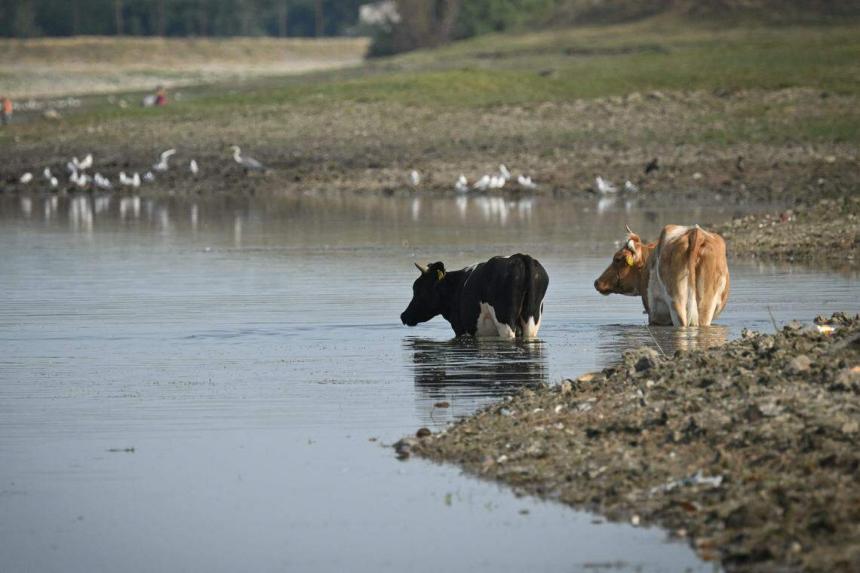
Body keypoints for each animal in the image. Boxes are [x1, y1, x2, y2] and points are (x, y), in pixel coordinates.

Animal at [400, 254, 549, 339]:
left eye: (417, 289)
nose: (403, 315)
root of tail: (521, 257)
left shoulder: (460, 329)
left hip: (505, 322)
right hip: (532, 320)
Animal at [594, 224, 730, 326]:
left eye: (617, 259)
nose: (597, 282)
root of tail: (695, 233)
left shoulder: (655, 316)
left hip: (677, 302)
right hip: (706, 305)